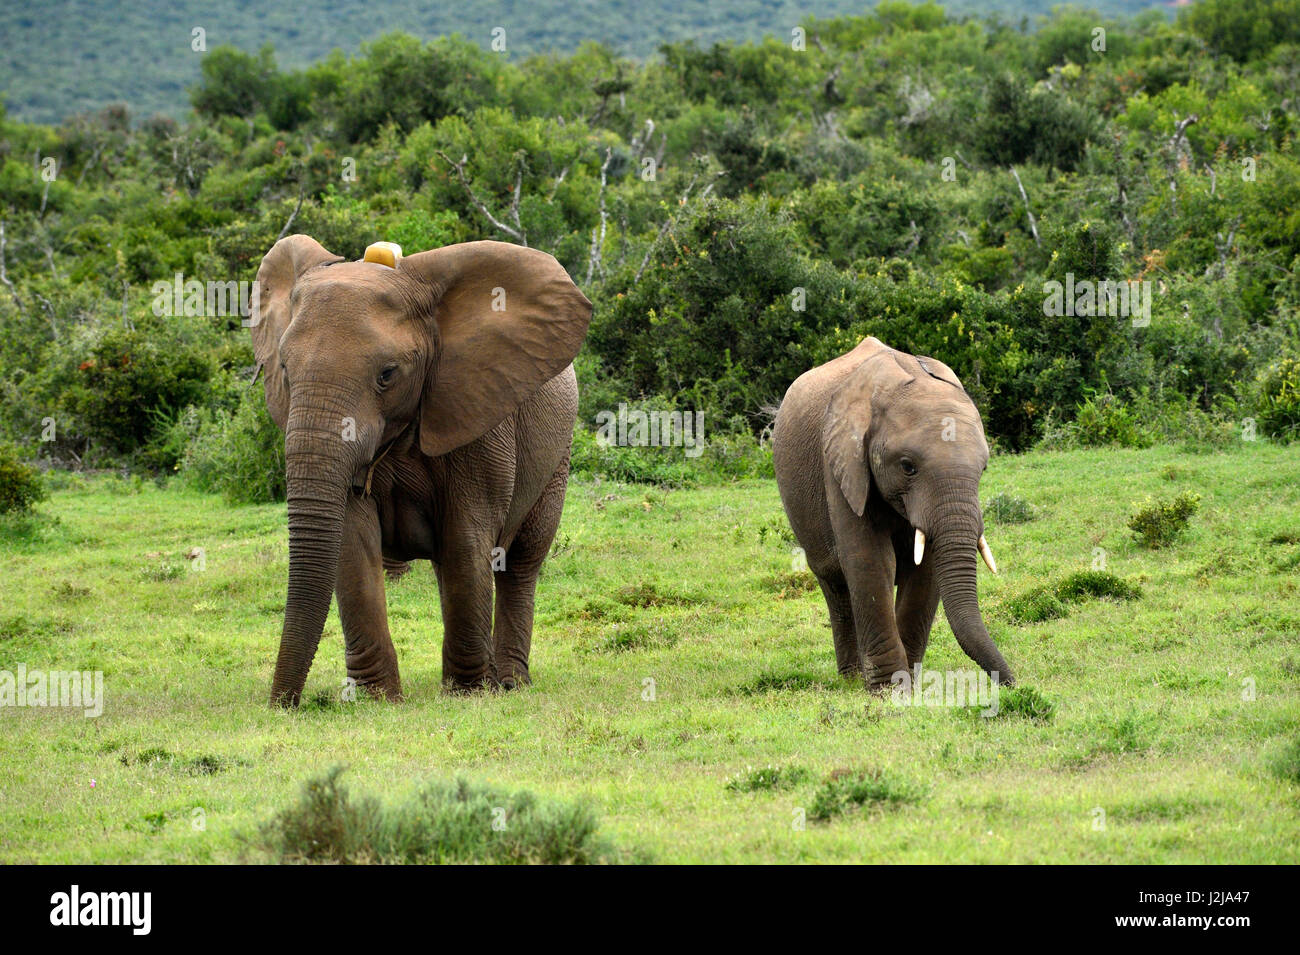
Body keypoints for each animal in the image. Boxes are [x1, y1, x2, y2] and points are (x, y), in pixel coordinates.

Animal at [250, 235, 592, 706]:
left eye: (387, 375)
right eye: (283, 369)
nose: (284, 706)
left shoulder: (478, 412)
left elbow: (467, 536)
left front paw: (469, 694)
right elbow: (352, 545)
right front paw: (378, 700)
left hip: (558, 452)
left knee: (521, 562)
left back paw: (508, 683)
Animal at [771, 336, 1013, 689]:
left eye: (983, 469)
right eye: (907, 467)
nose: (1012, 685)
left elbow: (926, 570)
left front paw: (907, 683)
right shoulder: (843, 463)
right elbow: (871, 560)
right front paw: (891, 691)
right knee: (837, 589)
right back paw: (852, 680)